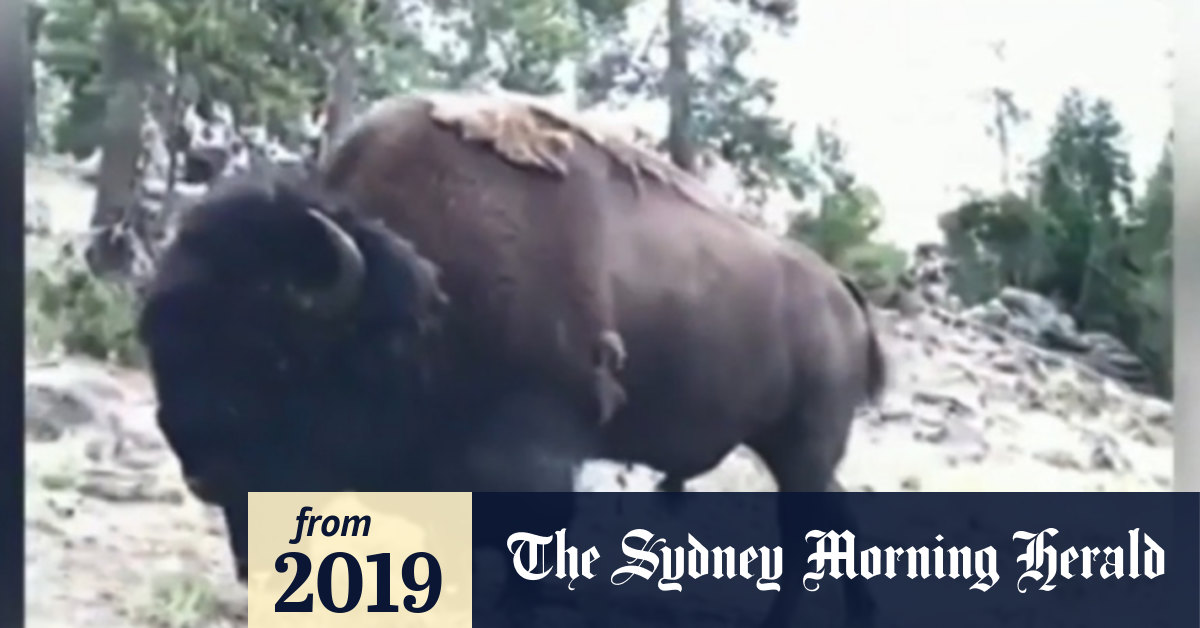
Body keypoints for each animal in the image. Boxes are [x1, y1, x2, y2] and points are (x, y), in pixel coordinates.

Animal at [137, 91, 887, 627]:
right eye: (161, 337)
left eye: (276, 355)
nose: (200, 465)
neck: (422, 291)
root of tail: (842, 288)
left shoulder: (530, 461)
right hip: (795, 450)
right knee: (835, 518)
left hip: (802, 447)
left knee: (805, 532)